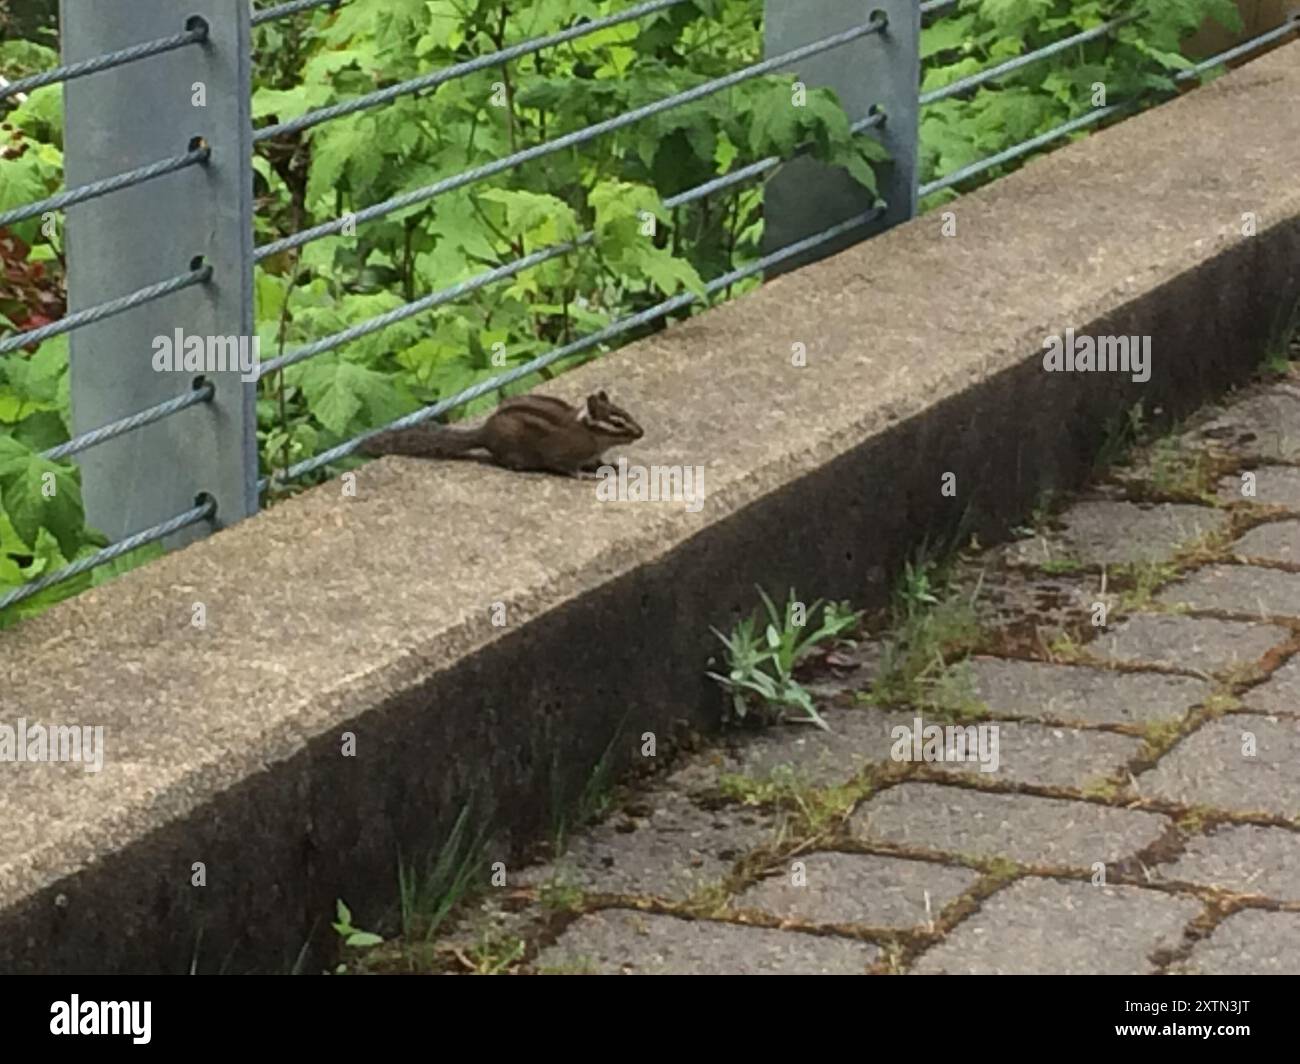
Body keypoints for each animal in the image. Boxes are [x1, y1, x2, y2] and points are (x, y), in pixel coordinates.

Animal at [360, 390, 644, 477]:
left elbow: (597, 461)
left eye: (627, 414)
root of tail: (484, 432)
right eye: (617, 423)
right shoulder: (562, 454)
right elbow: (566, 467)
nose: (641, 432)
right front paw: (583, 475)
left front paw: (610, 465)